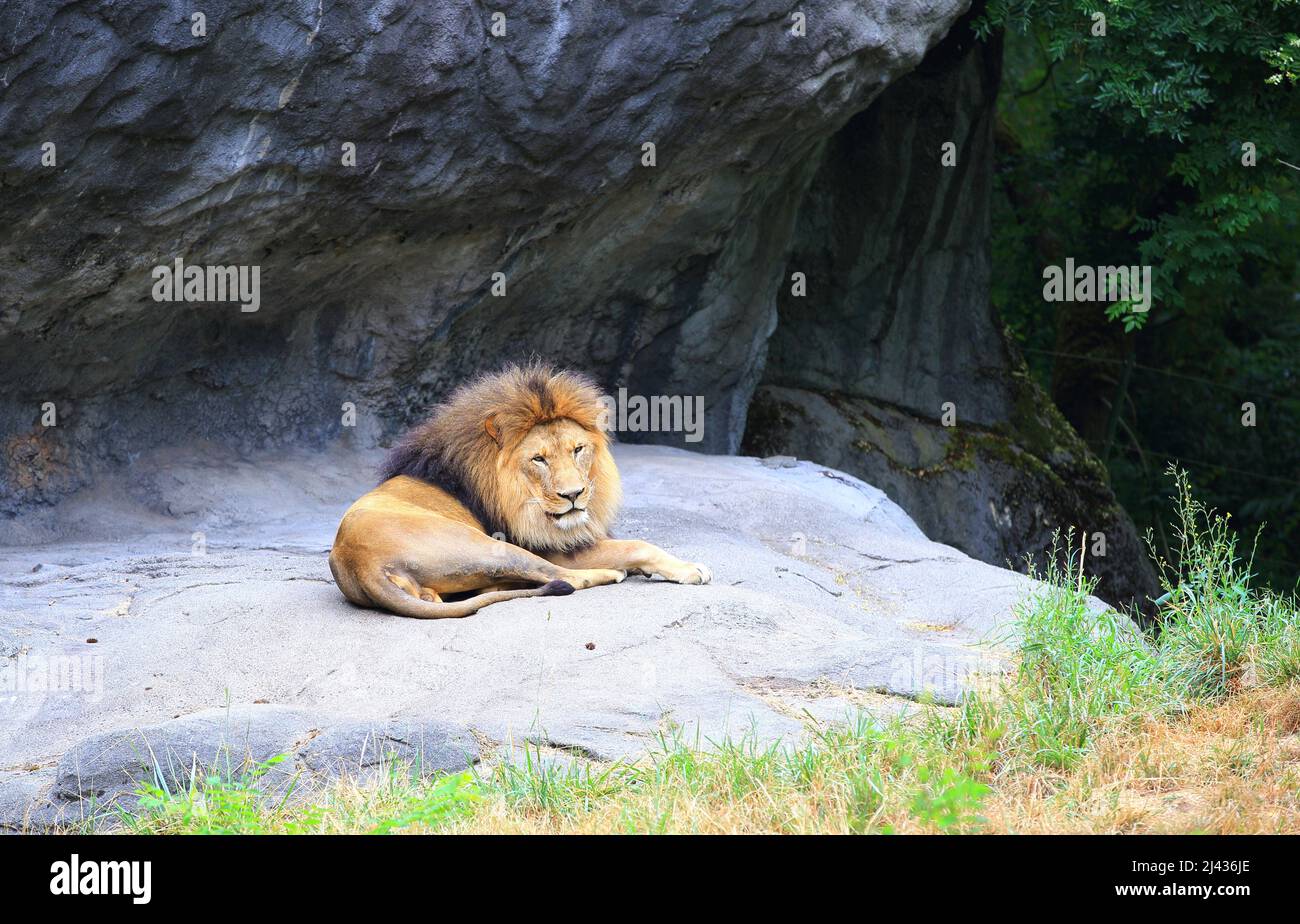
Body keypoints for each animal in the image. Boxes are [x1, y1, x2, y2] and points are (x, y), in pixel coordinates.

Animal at [329, 363, 712, 618]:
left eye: (578, 450)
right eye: (538, 459)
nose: (573, 495)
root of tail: (362, 564)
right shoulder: (552, 545)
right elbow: (637, 545)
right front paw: (689, 568)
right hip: (494, 548)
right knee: (557, 576)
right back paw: (610, 574)